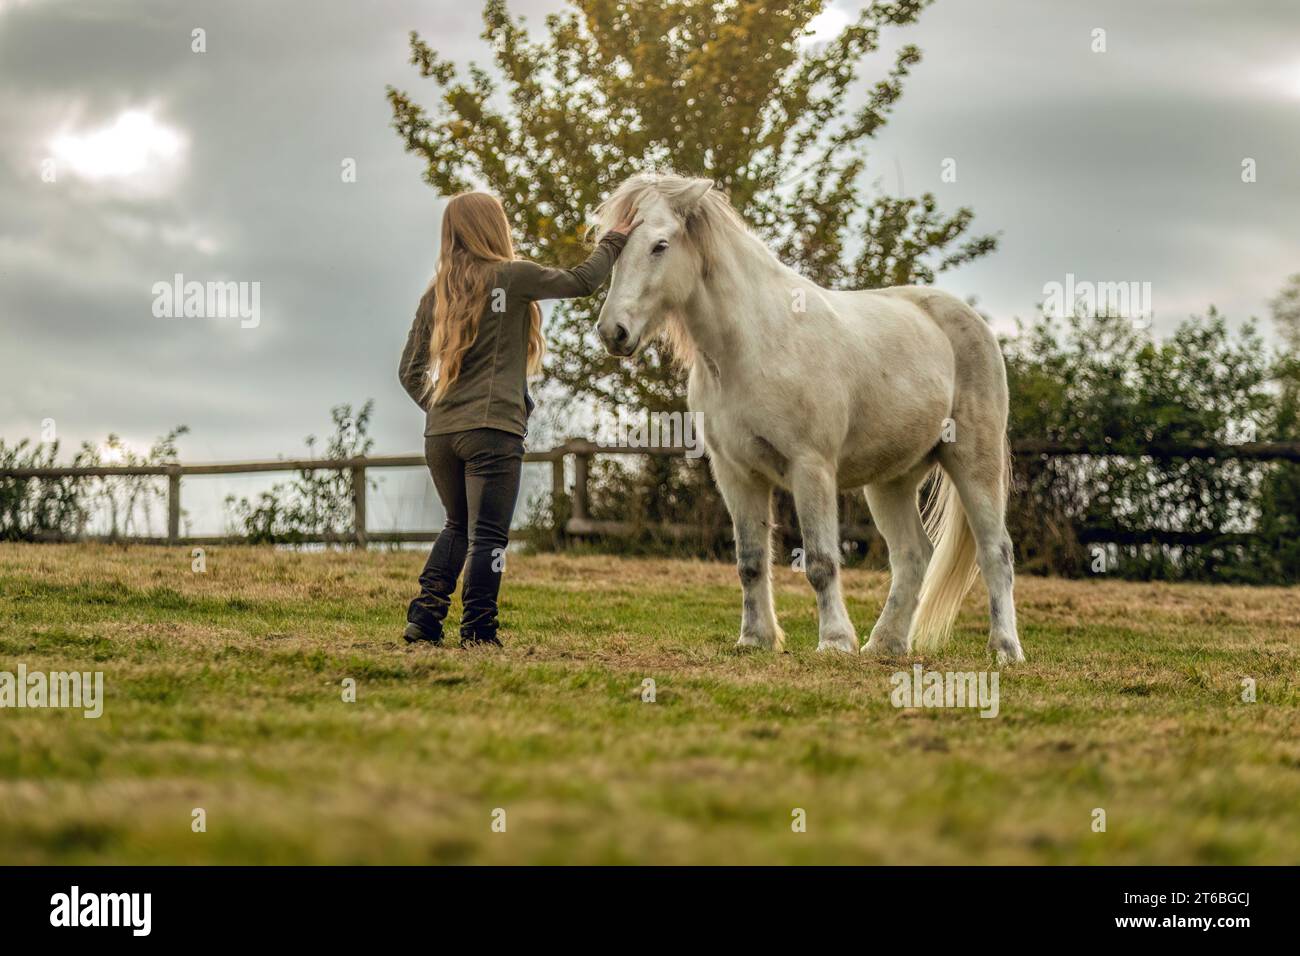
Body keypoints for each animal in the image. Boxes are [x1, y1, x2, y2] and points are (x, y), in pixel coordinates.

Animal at [593, 173, 1024, 663]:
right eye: (614, 245)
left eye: (660, 245)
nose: (613, 332)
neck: (753, 343)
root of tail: (971, 322)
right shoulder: (736, 473)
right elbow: (750, 562)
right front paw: (755, 638)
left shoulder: (810, 467)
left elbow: (820, 561)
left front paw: (834, 641)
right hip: (892, 480)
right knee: (913, 554)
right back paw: (884, 643)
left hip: (975, 462)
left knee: (996, 552)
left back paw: (1005, 649)